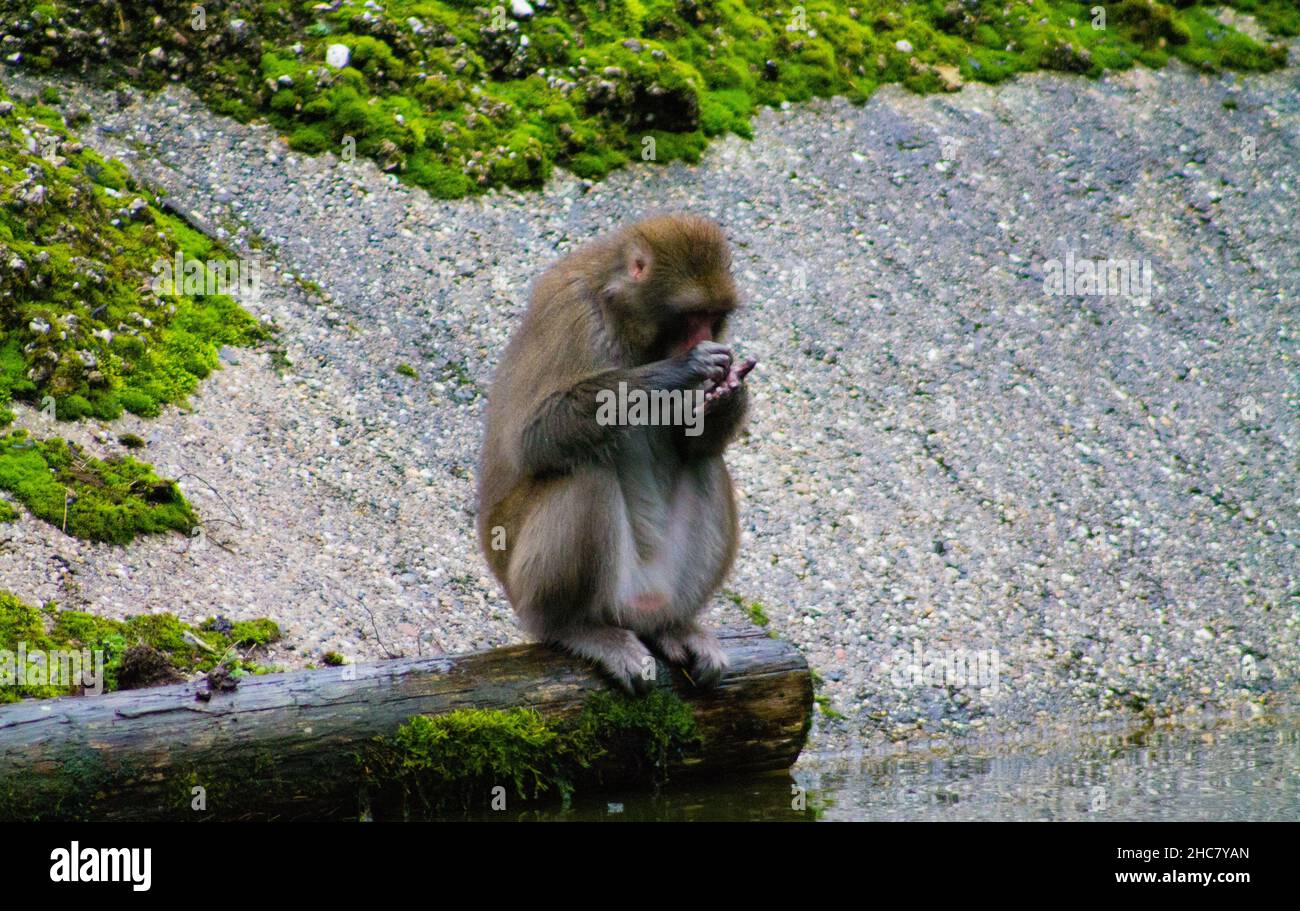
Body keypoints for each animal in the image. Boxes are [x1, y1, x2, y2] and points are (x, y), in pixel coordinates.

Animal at [477, 214, 757, 694]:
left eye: (714, 316)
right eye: (691, 316)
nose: (704, 339)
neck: (623, 317)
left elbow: (696, 443)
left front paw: (727, 392)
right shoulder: (571, 310)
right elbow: (534, 434)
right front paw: (679, 371)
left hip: (655, 590)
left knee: (706, 464)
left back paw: (671, 626)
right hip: (536, 586)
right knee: (585, 469)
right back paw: (574, 628)